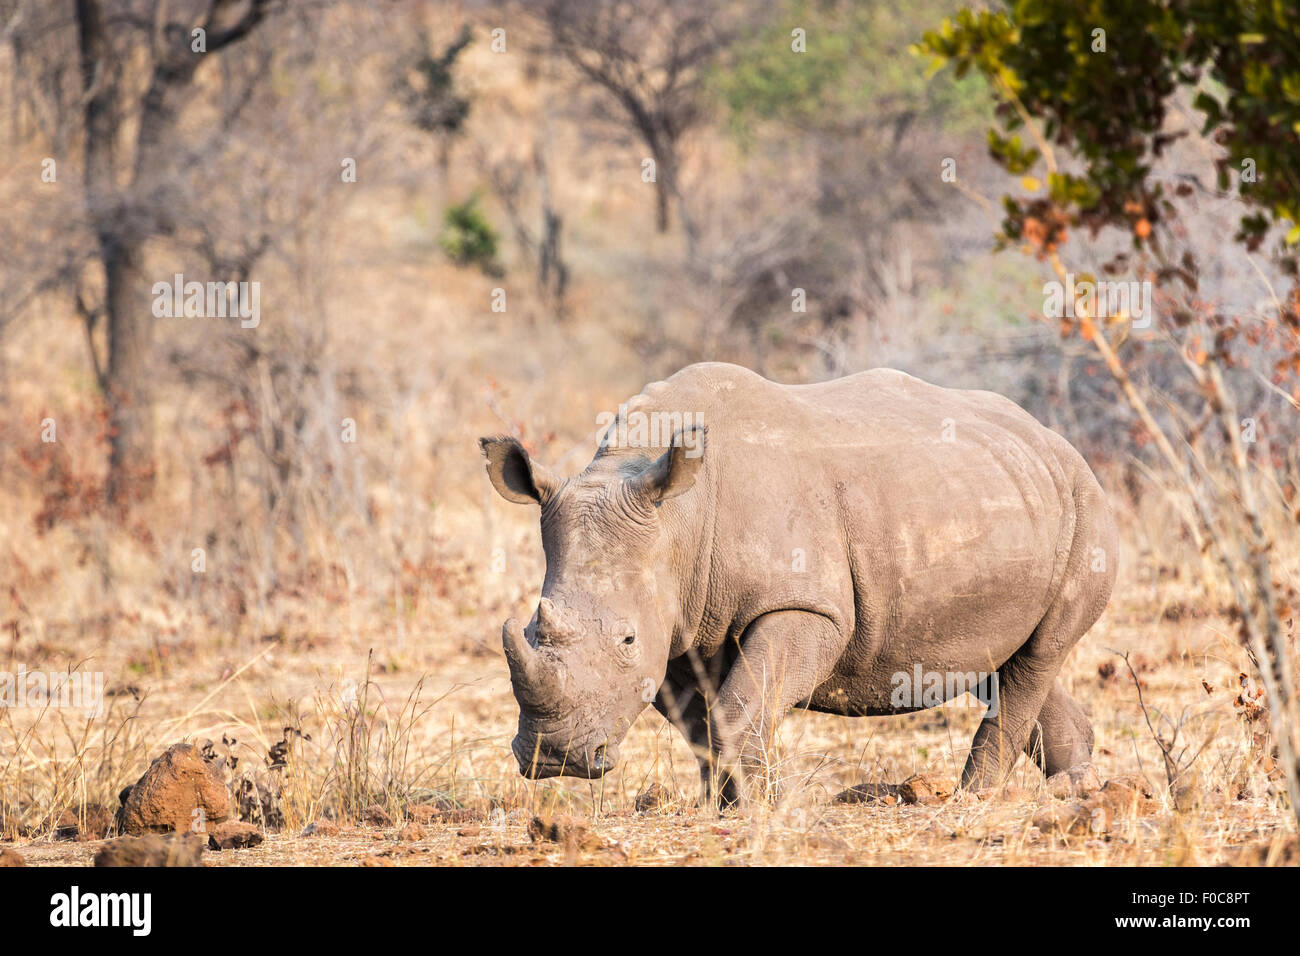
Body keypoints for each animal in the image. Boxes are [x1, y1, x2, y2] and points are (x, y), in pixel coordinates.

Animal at [480, 363, 1117, 803]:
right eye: (531, 630)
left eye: (627, 640)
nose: (555, 758)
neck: (679, 517)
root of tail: (1054, 438)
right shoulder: (680, 625)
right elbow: (702, 724)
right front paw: (723, 807)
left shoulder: (803, 608)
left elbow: (738, 707)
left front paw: (760, 808)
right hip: (998, 496)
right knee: (996, 659)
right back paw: (1075, 786)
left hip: (1084, 507)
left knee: (1039, 653)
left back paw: (974, 799)